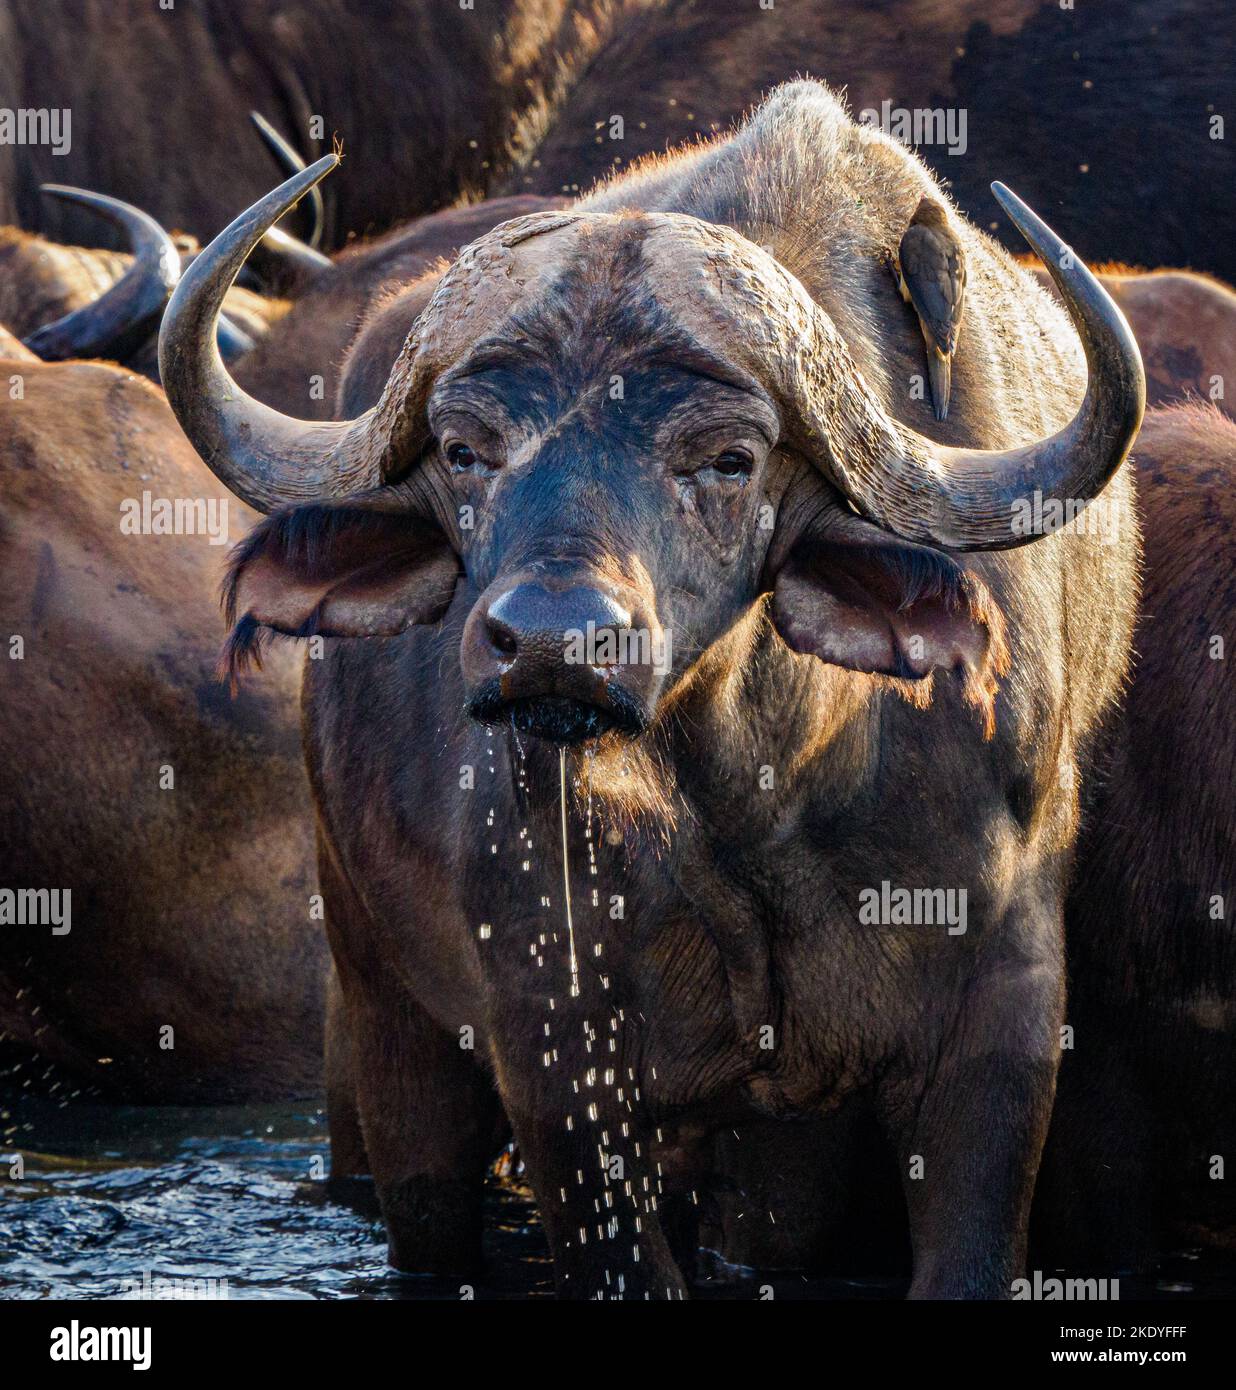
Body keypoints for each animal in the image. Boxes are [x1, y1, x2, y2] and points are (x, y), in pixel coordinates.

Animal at [161, 80, 1147, 1298]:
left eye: (729, 459)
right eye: (464, 450)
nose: (551, 643)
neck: (765, 800)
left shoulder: (1002, 1021)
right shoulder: (554, 1042)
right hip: (381, 1001)